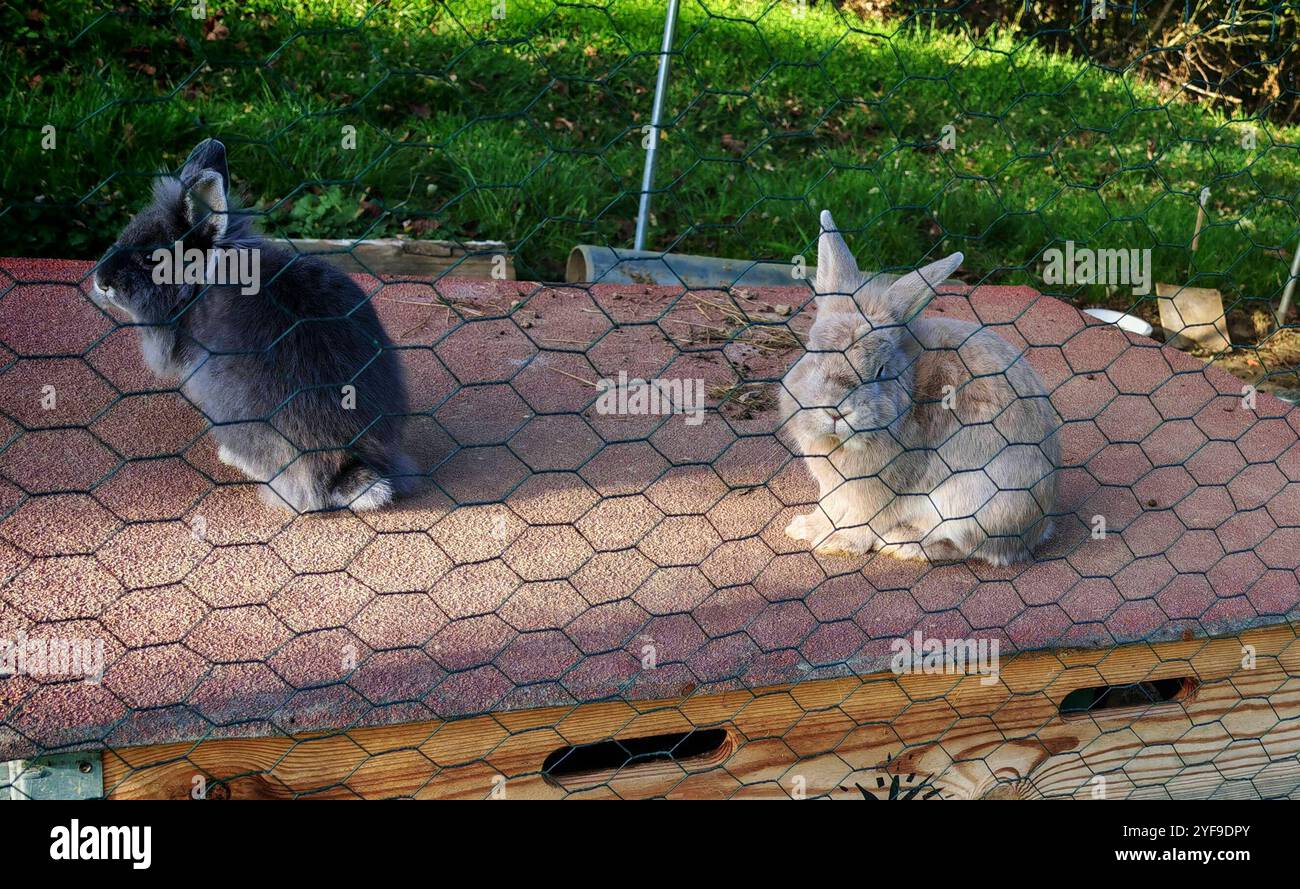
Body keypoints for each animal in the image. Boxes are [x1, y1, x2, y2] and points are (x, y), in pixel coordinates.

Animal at [778, 210, 1060, 565]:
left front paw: (836, 543)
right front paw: (804, 528)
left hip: (971, 504)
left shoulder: (877, 495)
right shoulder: (834, 490)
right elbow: (828, 507)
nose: (835, 410)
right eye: (813, 351)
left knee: (961, 547)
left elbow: (861, 522)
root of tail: (1039, 528)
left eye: (881, 371)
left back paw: (900, 544)